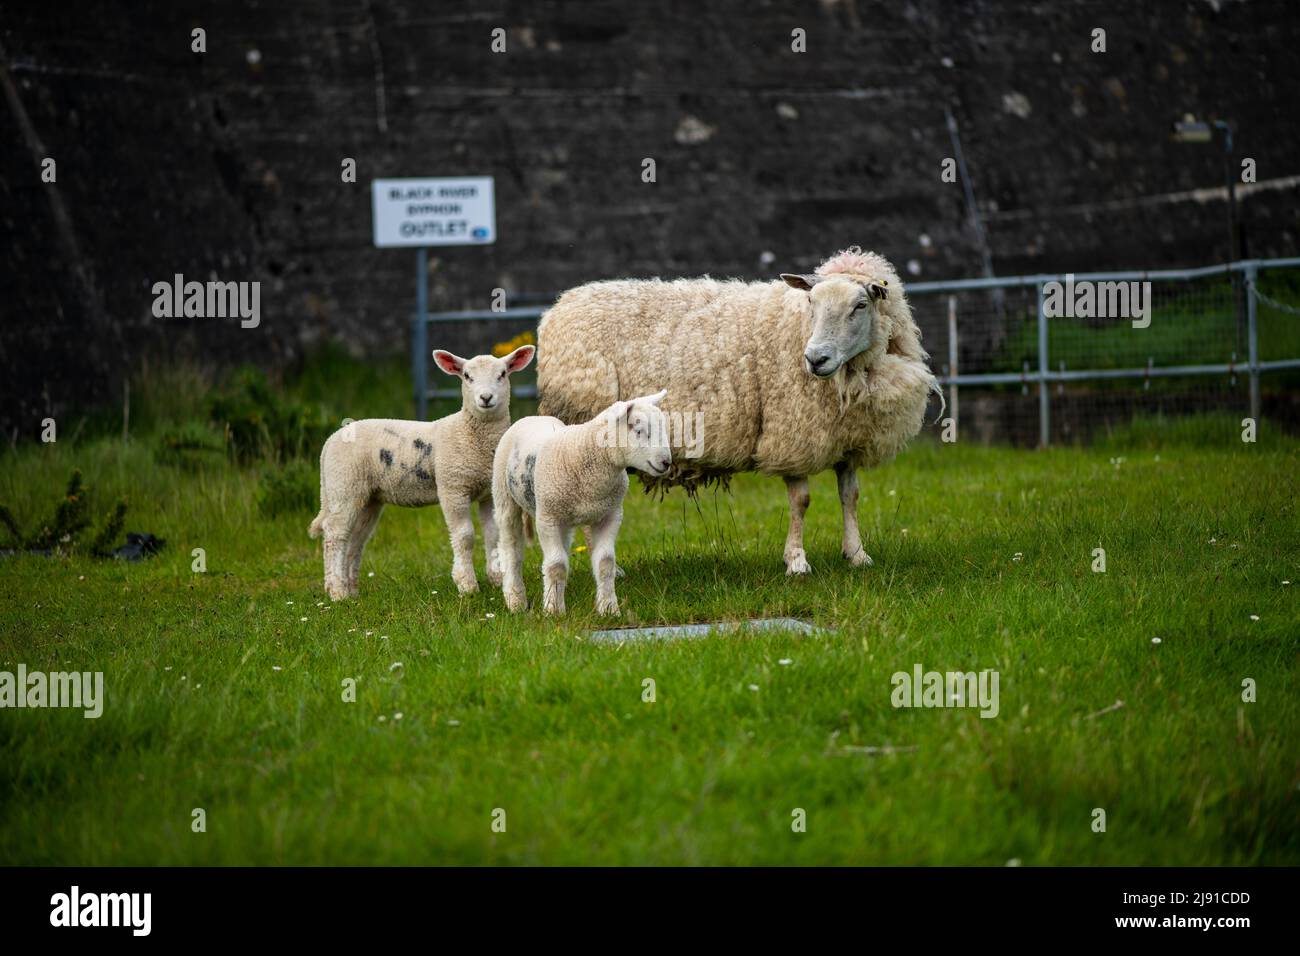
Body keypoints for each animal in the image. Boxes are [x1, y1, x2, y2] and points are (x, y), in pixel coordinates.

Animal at [308, 345, 535, 600]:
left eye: (502, 374)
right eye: (467, 376)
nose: (486, 398)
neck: (470, 434)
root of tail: (330, 441)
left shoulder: (488, 493)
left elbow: (492, 535)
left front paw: (495, 579)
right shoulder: (452, 486)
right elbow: (465, 536)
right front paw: (467, 585)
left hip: (367, 497)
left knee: (355, 539)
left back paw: (351, 591)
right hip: (344, 485)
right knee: (335, 534)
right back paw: (337, 592)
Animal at [492, 390, 672, 615]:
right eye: (638, 430)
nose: (667, 462)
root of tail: (531, 417)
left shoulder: (610, 515)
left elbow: (605, 563)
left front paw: (608, 608)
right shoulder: (547, 518)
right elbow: (556, 565)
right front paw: (553, 610)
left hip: (564, 518)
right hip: (504, 496)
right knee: (511, 548)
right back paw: (515, 599)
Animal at [535, 247, 940, 576]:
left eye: (861, 305)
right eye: (811, 302)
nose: (815, 359)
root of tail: (559, 307)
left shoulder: (847, 437)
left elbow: (850, 496)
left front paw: (856, 554)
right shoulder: (791, 432)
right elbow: (801, 501)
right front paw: (796, 561)